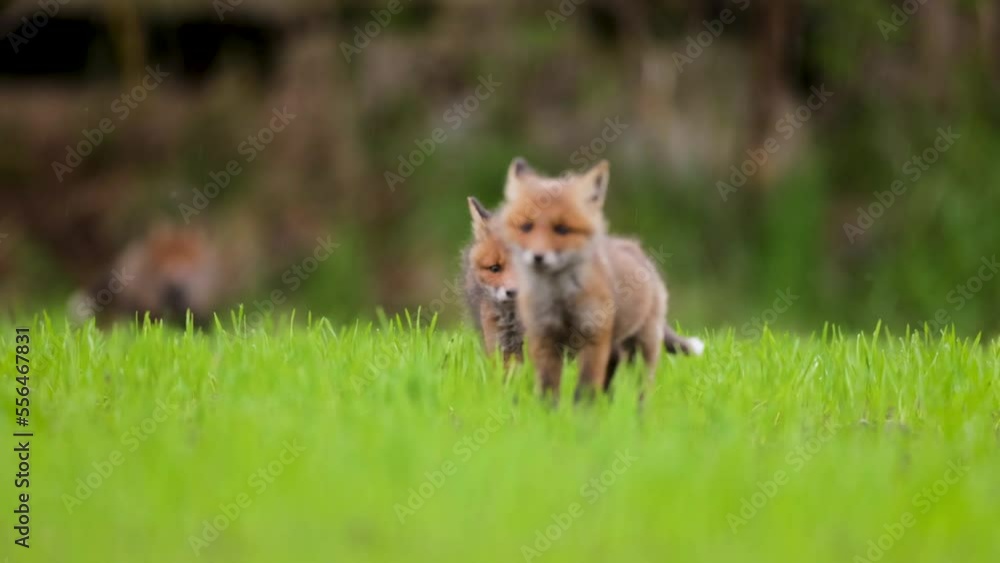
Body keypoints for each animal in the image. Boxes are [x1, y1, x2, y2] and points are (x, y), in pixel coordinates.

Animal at [498, 157, 701, 399]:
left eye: (562, 229)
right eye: (526, 227)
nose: (538, 257)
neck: (560, 298)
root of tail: (634, 246)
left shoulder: (593, 338)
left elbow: (585, 389)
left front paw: (583, 410)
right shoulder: (544, 338)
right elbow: (548, 388)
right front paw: (547, 410)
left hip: (645, 342)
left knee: (643, 382)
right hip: (616, 346)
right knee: (613, 373)